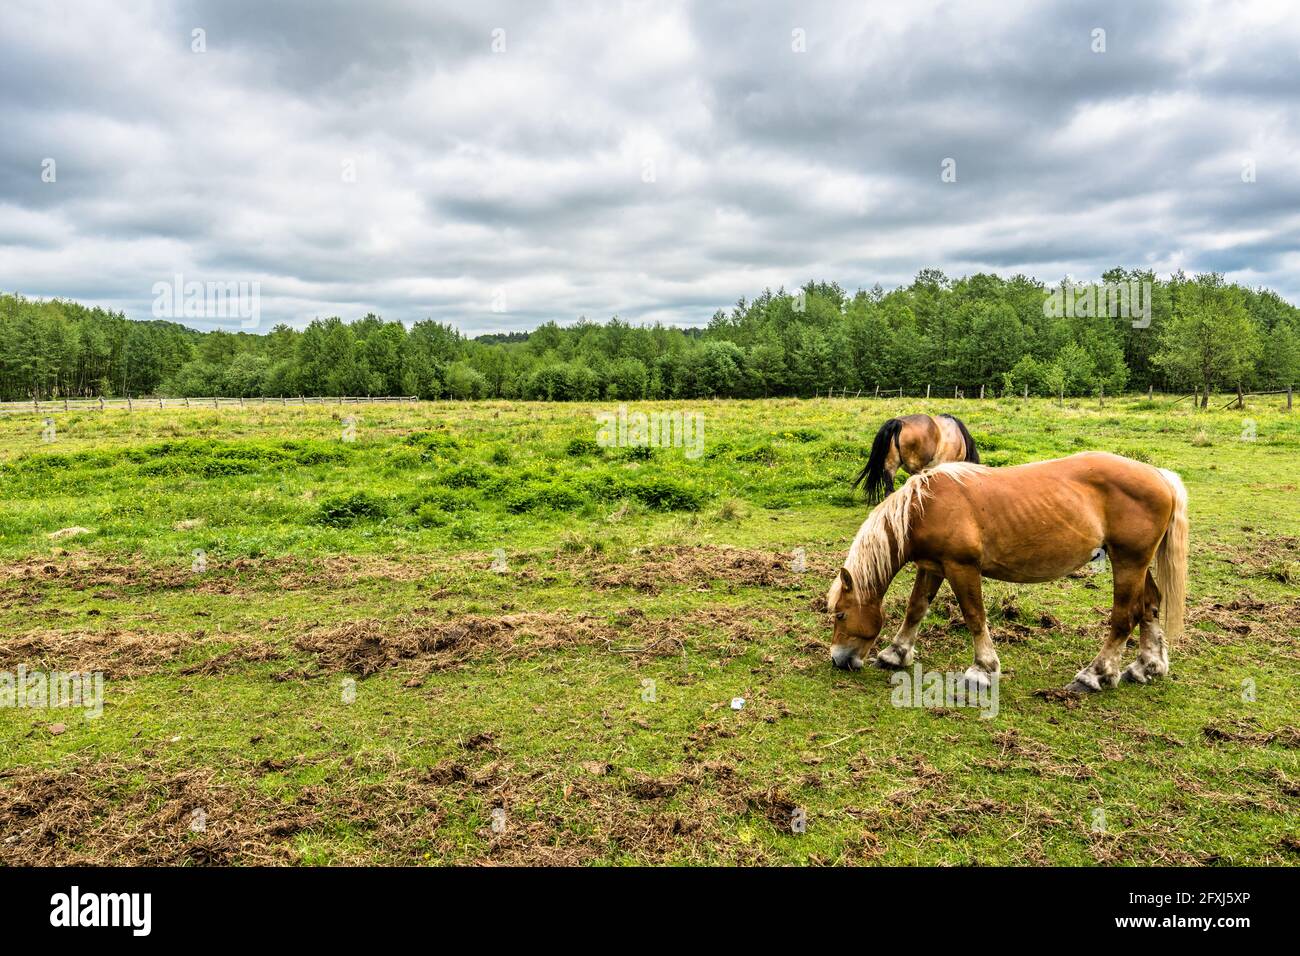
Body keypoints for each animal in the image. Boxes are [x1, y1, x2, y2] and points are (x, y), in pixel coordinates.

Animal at [827, 452, 1188, 694]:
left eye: (841, 615)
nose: (838, 660)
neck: (925, 507)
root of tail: (1160, 475)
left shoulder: (961, 567)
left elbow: (974, 616)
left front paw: (982, 670)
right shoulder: (932, 567)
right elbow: (915, 609)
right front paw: (895, 654)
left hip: (1129, 561)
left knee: (1125, 617)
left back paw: (1095, 674)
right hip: (1136, 562)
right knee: (1149, 606)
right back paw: (1145, 667)